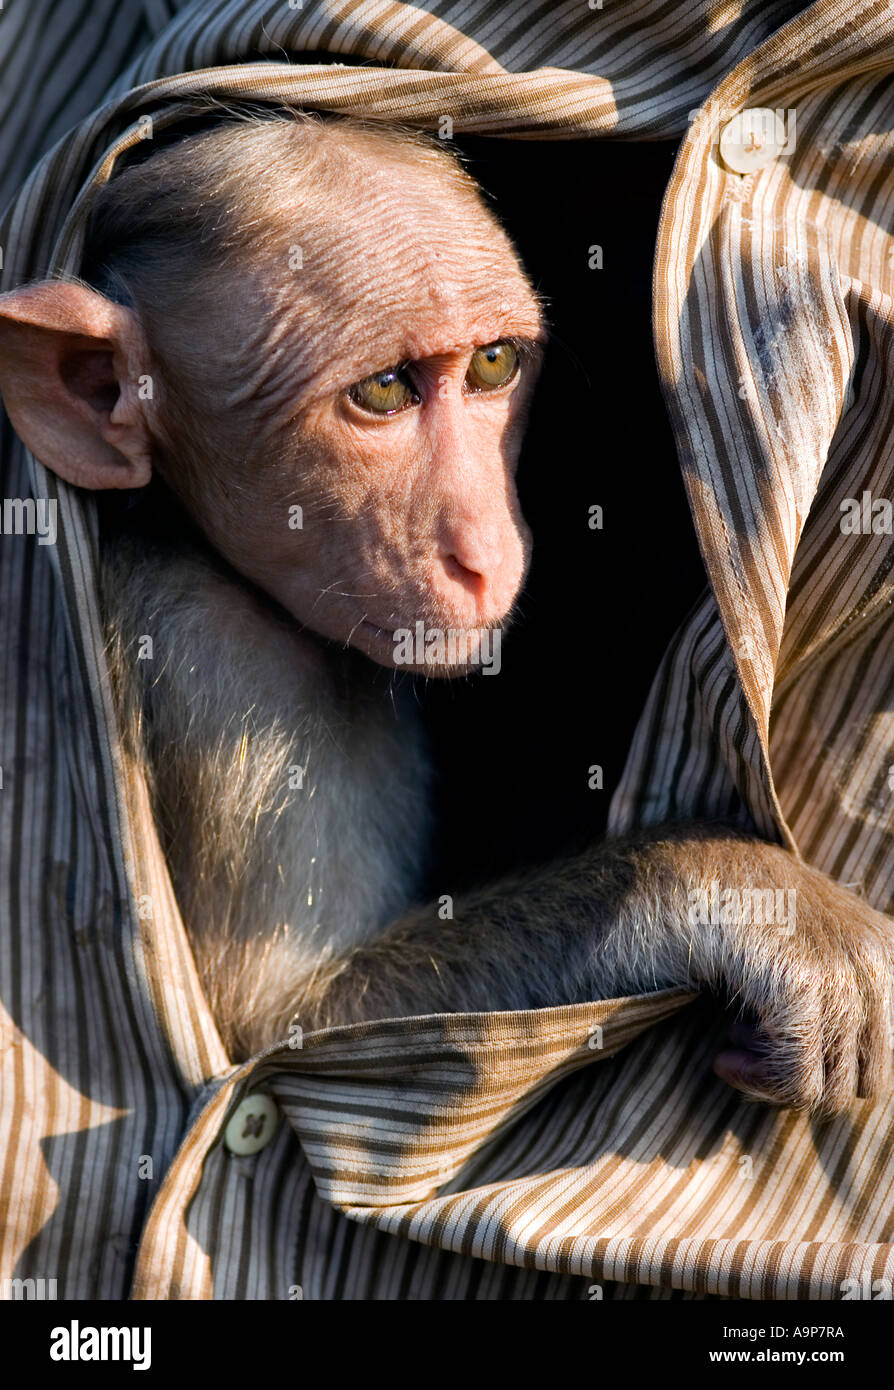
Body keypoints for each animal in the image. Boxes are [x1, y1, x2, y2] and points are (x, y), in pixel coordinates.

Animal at [0, 107, 891, 1116]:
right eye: (383, 389)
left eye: (493, 363)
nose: (488, 550)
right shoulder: (220, 668)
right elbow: (282, 1046)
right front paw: (735, 896)